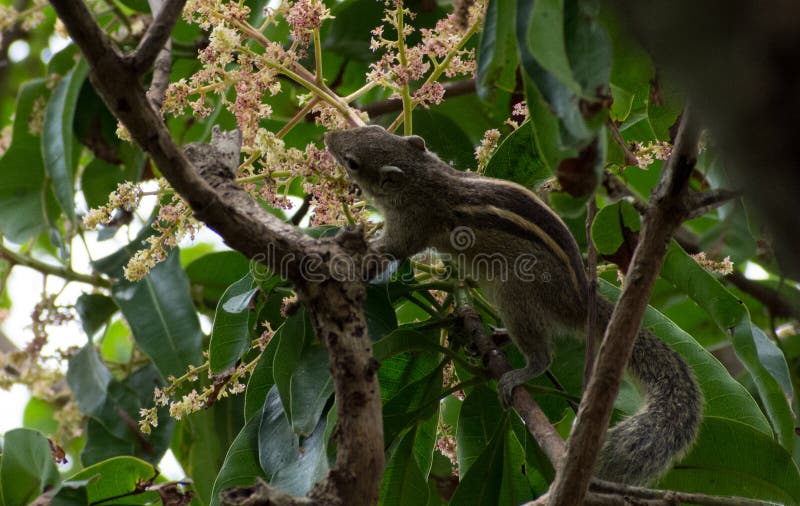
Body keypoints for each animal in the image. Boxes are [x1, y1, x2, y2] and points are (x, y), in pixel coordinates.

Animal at [323, 125, 702, 485]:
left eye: (352, 162)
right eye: (371, 129)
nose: (329, 137)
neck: (424, 177)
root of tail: (580, 299)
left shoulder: (411, 227)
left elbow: (389, 250)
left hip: (516, 293)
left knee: (543, 354)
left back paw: (520, 371)